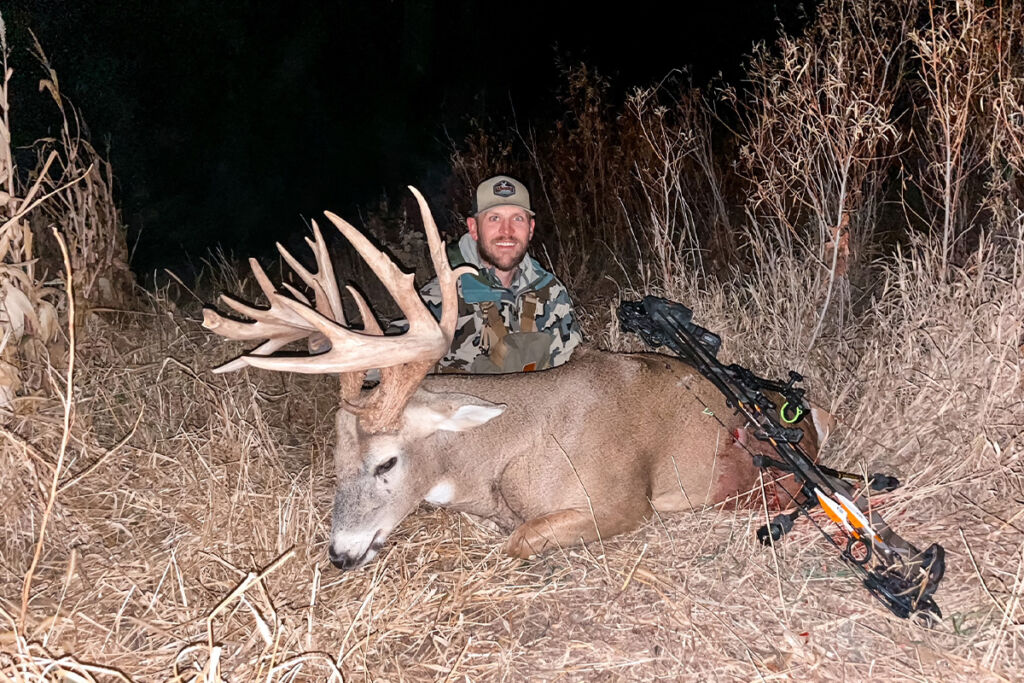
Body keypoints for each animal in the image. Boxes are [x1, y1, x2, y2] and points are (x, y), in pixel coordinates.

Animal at [203, 187, 833, 570]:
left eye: (386, 462)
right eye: (334, 458)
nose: (340, 553)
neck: (500, 455)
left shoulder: (622, 501)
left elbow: (517, 540)